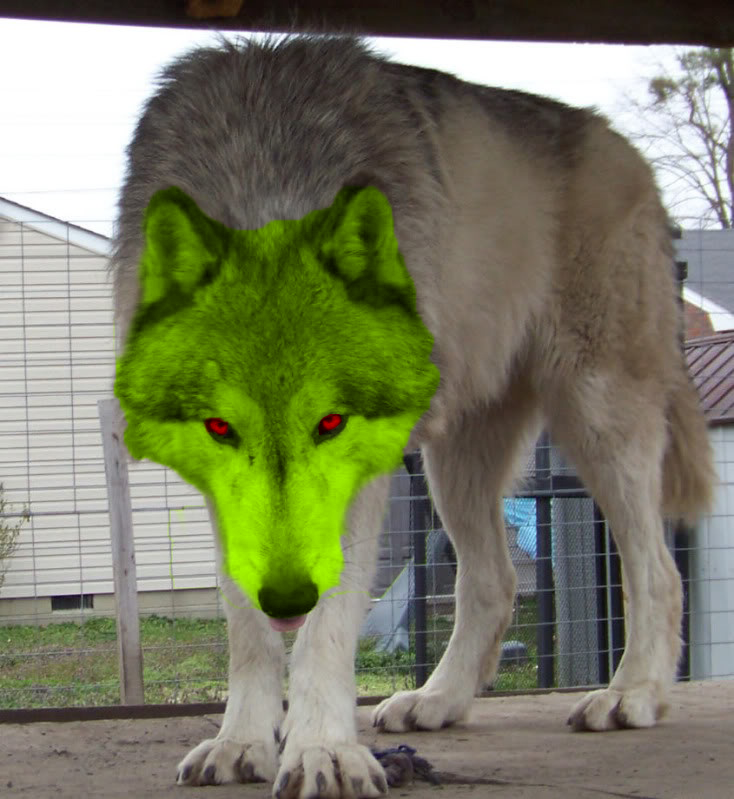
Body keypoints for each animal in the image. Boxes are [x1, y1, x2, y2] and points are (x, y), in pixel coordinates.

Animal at [112, 35, 714, 799]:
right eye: (226, 431)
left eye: (330, 425)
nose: (288, 591)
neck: (268, 167)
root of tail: (627, 150)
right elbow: (246, 625)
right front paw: (242, 740)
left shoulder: (361, 475)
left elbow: (327, 629)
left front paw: (323, 751)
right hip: (453, 461)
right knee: (495, 582)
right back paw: (438, 699)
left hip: (598, 416)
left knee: (657, 572)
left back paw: (631, 694)